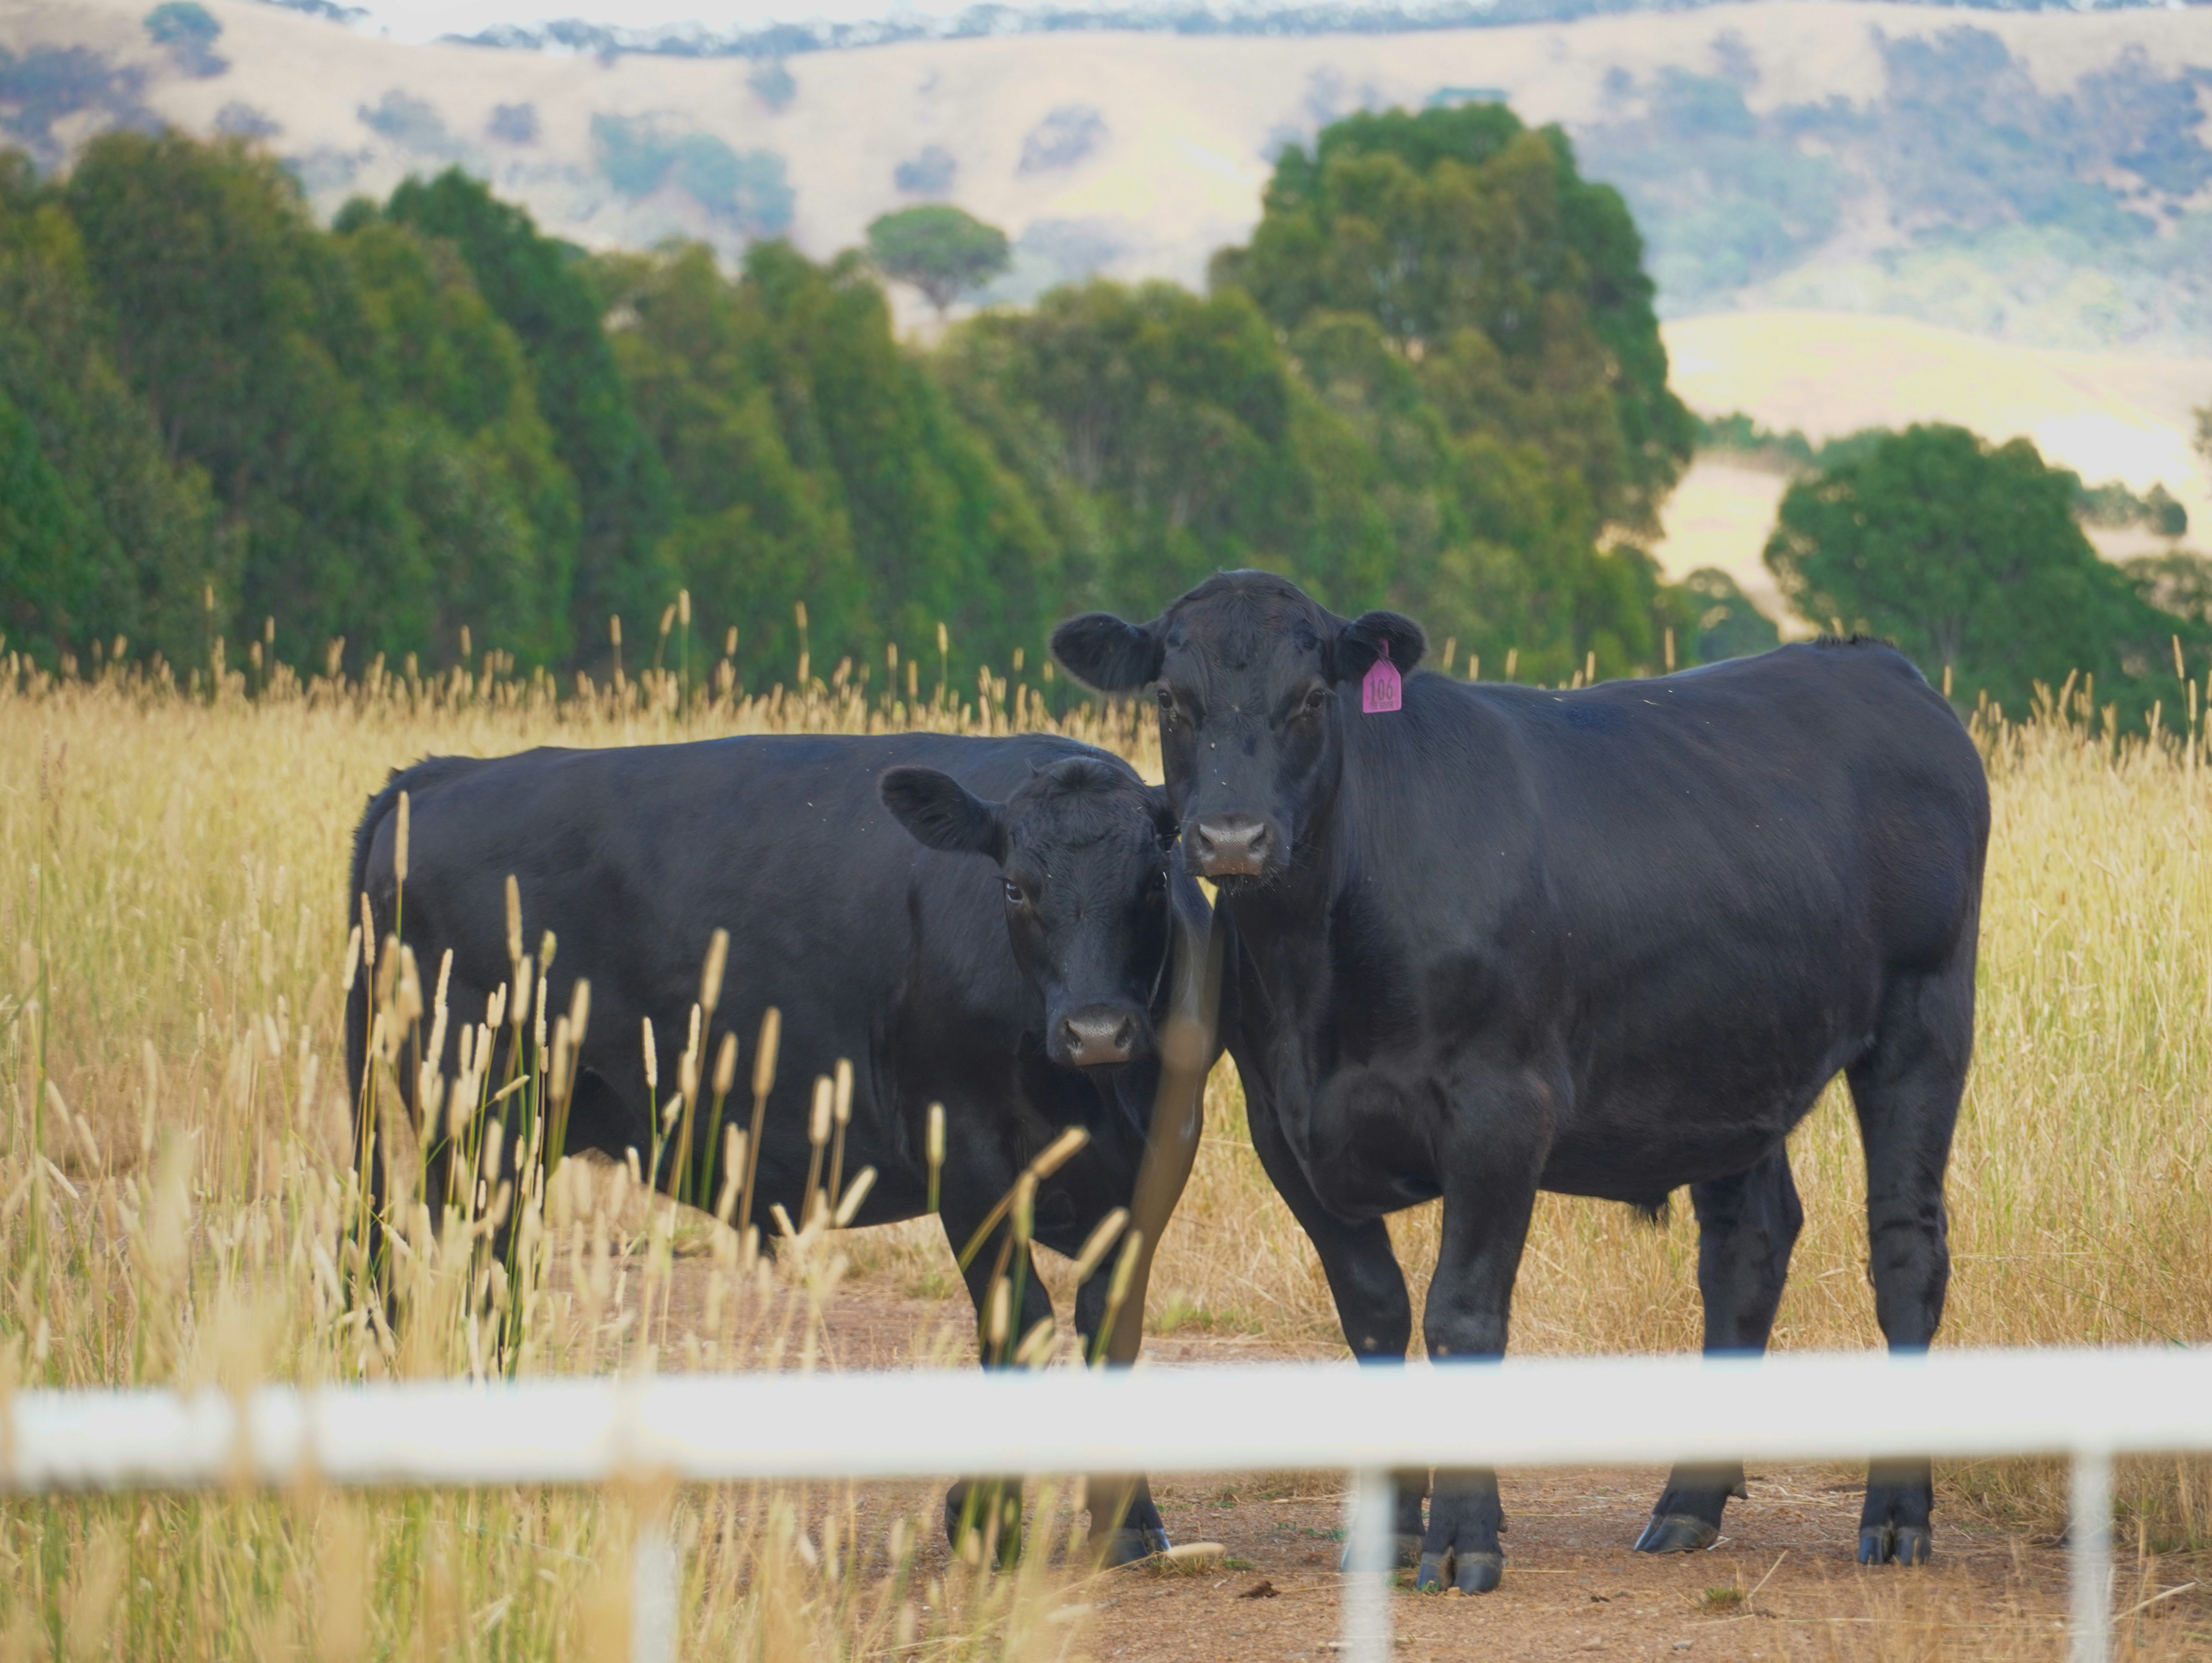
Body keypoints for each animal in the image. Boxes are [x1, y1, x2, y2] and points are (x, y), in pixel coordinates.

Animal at [344, 731, 1210, 1564]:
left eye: (1152, 883)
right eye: (1015, 889)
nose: (1098, 1030)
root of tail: (446, 773)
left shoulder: (1155, 1159)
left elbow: (1110, 1323)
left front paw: (1129, 1525)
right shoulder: (965, 1151)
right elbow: (1018, 1321)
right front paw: (984, 1520)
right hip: (478, 1117)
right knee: (477, 1277)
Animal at [1052, 570, 1989, 1593]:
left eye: (1310, 699)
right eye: (1171, 702)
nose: (1231, 838)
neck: (1318, 959)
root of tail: (1871, 660)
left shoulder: (1499, 1111)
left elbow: (1461, 1314)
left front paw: (1464, 1539)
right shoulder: (1285, 1128)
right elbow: (1374, 1314)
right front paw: (1390, 1532)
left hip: (1923, 1018)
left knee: (1906, 1249)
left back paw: (1895, 1516)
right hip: (1731, 1058)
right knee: (1746, 1250)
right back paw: (1686, 1505)